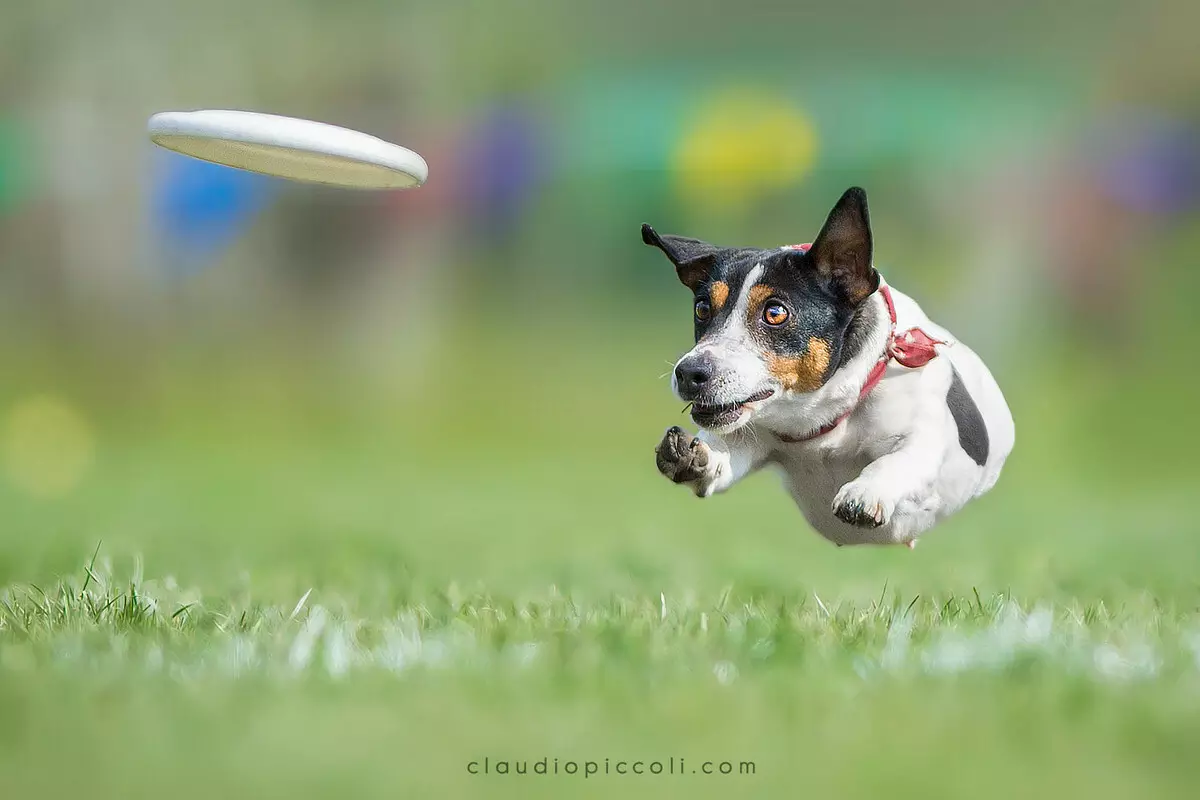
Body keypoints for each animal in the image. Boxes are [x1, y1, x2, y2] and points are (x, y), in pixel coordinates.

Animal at [648, 189, 1012, 551]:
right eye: (702, 308)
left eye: (775, 313)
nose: (688, 373)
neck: (822, 418)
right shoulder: (750, 435)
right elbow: (723, 457)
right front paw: (699, 456)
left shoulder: (925, 434)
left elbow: (899, 458)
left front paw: (866, 492)